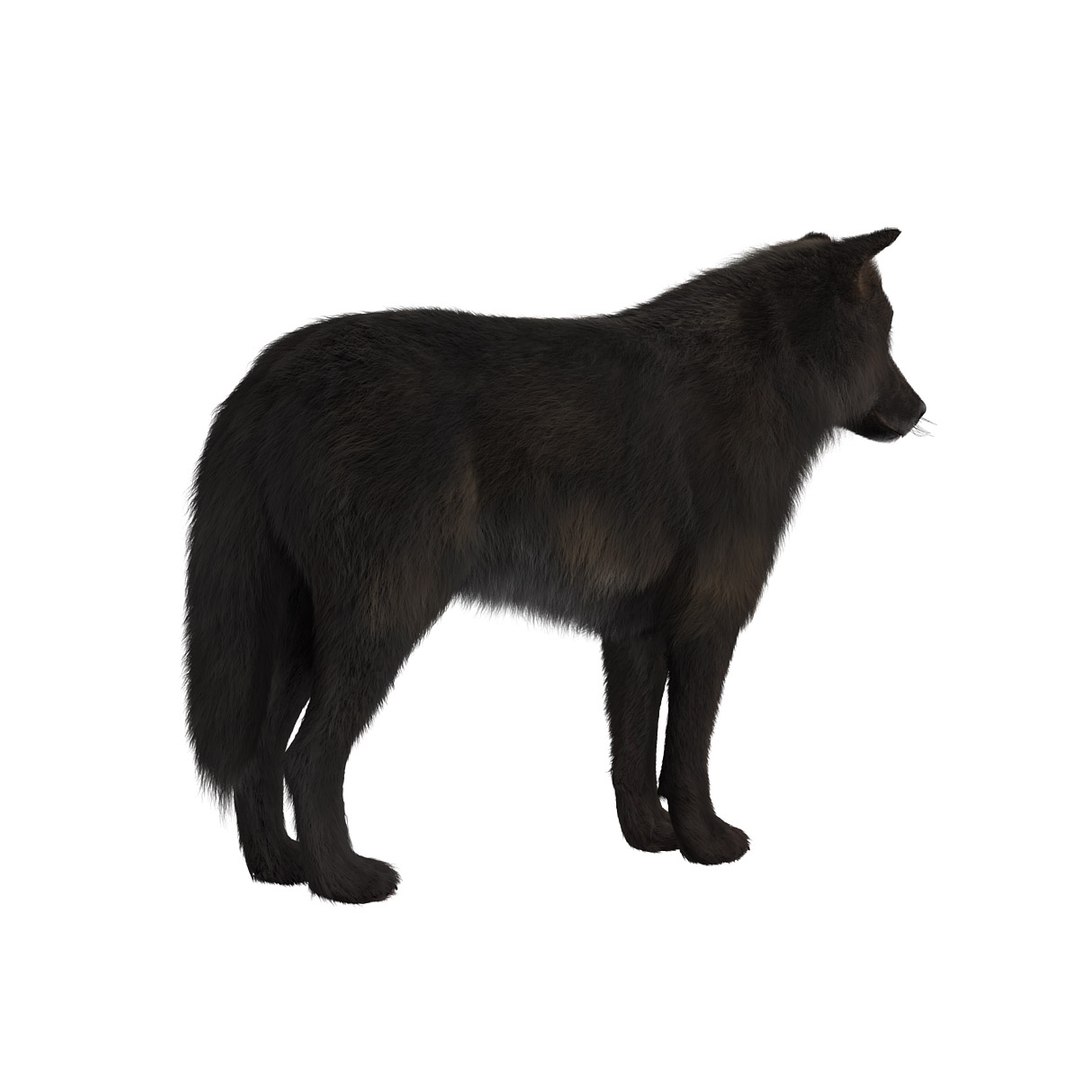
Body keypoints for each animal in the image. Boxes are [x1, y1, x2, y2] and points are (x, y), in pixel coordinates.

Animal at [185, 228, 926, 903]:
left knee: (258, 755)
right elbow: (688, 753)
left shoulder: (634, 635)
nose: (920, 409)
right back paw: (343, 881)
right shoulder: (705, 629)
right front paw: (707, 844)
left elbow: (634, 750)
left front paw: (651, 837)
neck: (756, 380)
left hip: (296, 640)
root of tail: (268, 374)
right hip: (378, 625)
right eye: (886, 330)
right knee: (307, 759)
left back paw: (278, 868)